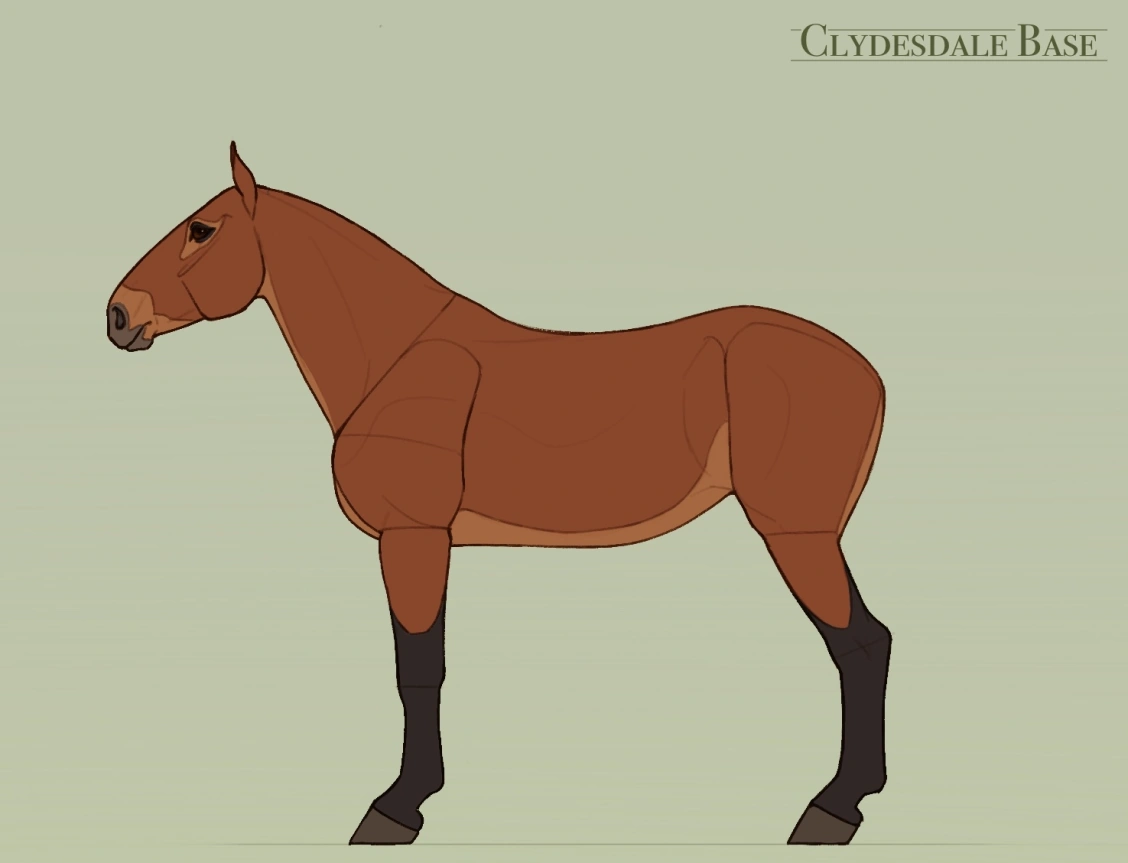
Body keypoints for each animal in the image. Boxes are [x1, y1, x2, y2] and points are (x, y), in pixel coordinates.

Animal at [105, 143, 892, 846]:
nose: (118, 316)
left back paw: (835, 807)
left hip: (798, 535)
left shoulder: (414, 537)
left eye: (202, 229)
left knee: (862, 644)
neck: (395, 358)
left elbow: (418, 667)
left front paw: (399, 807)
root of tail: (870, 373)